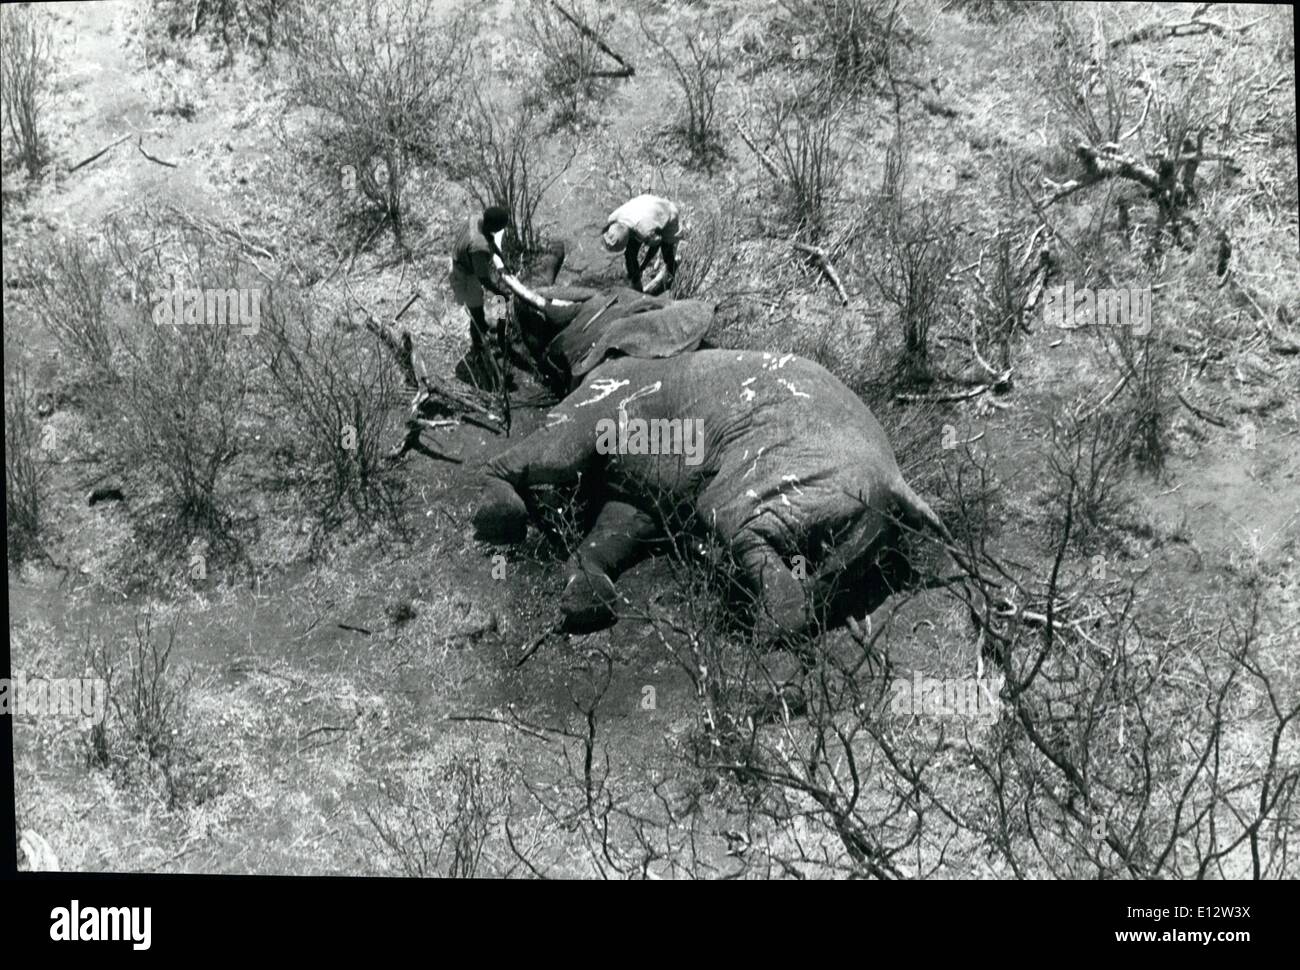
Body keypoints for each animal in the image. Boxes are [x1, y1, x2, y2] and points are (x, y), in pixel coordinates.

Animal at [472, 348, 954, 640]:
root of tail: (893, 482)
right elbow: (621, 522)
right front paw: (586, 599)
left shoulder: (605, 401)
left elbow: (557, 447)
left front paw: (496, 516)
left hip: (783, 472)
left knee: (735, 523)